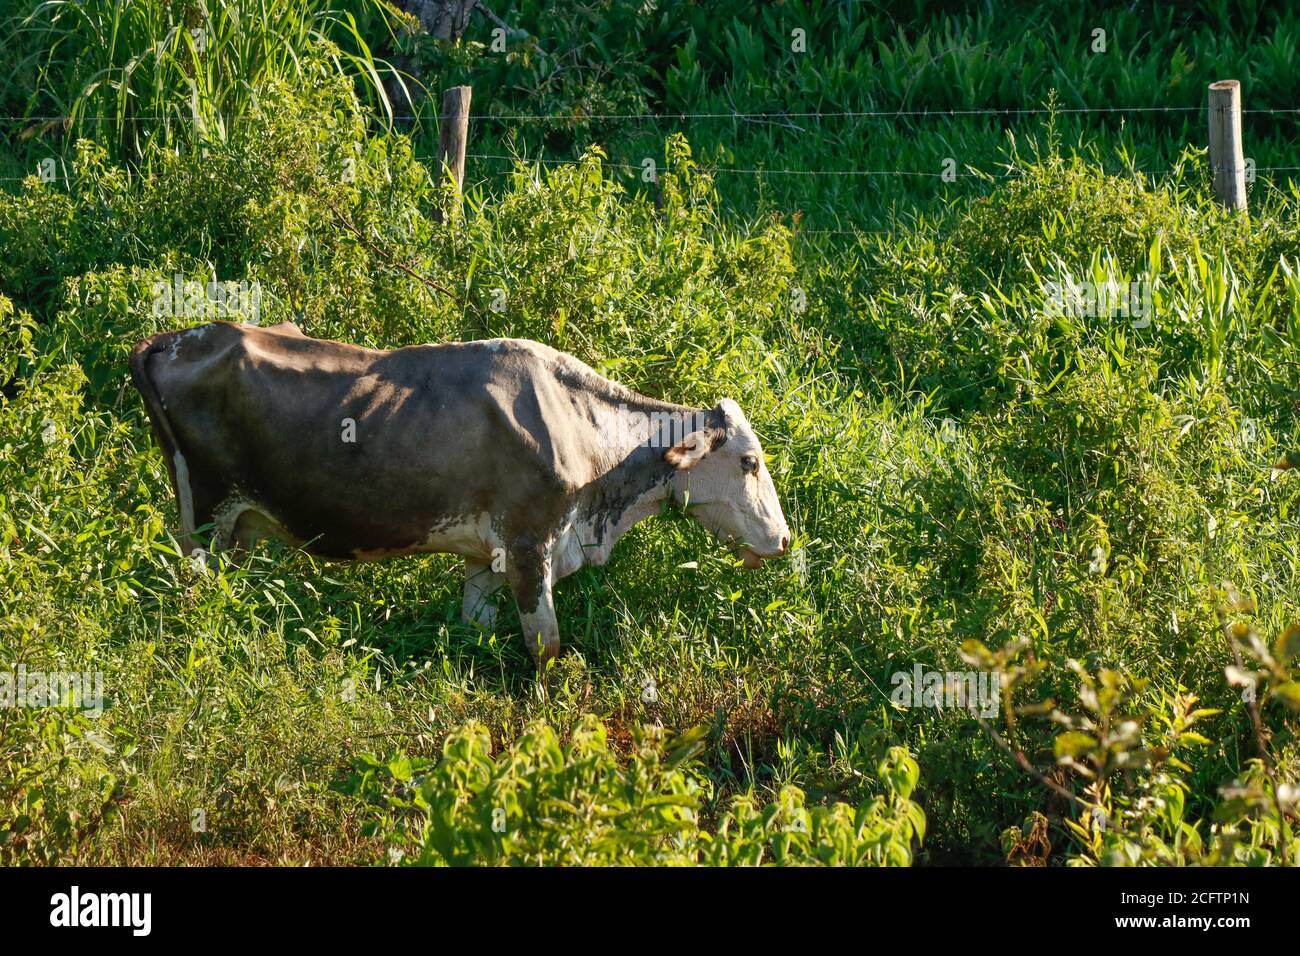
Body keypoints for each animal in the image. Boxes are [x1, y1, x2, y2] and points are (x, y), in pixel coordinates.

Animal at [129, 321, 791, 665]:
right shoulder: (529, 547)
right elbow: (546, 646)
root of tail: (178, 336)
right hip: (203, 519)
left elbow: (478, 630)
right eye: (750, 461)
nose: (784, 540)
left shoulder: (486, 559)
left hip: (237, 528)